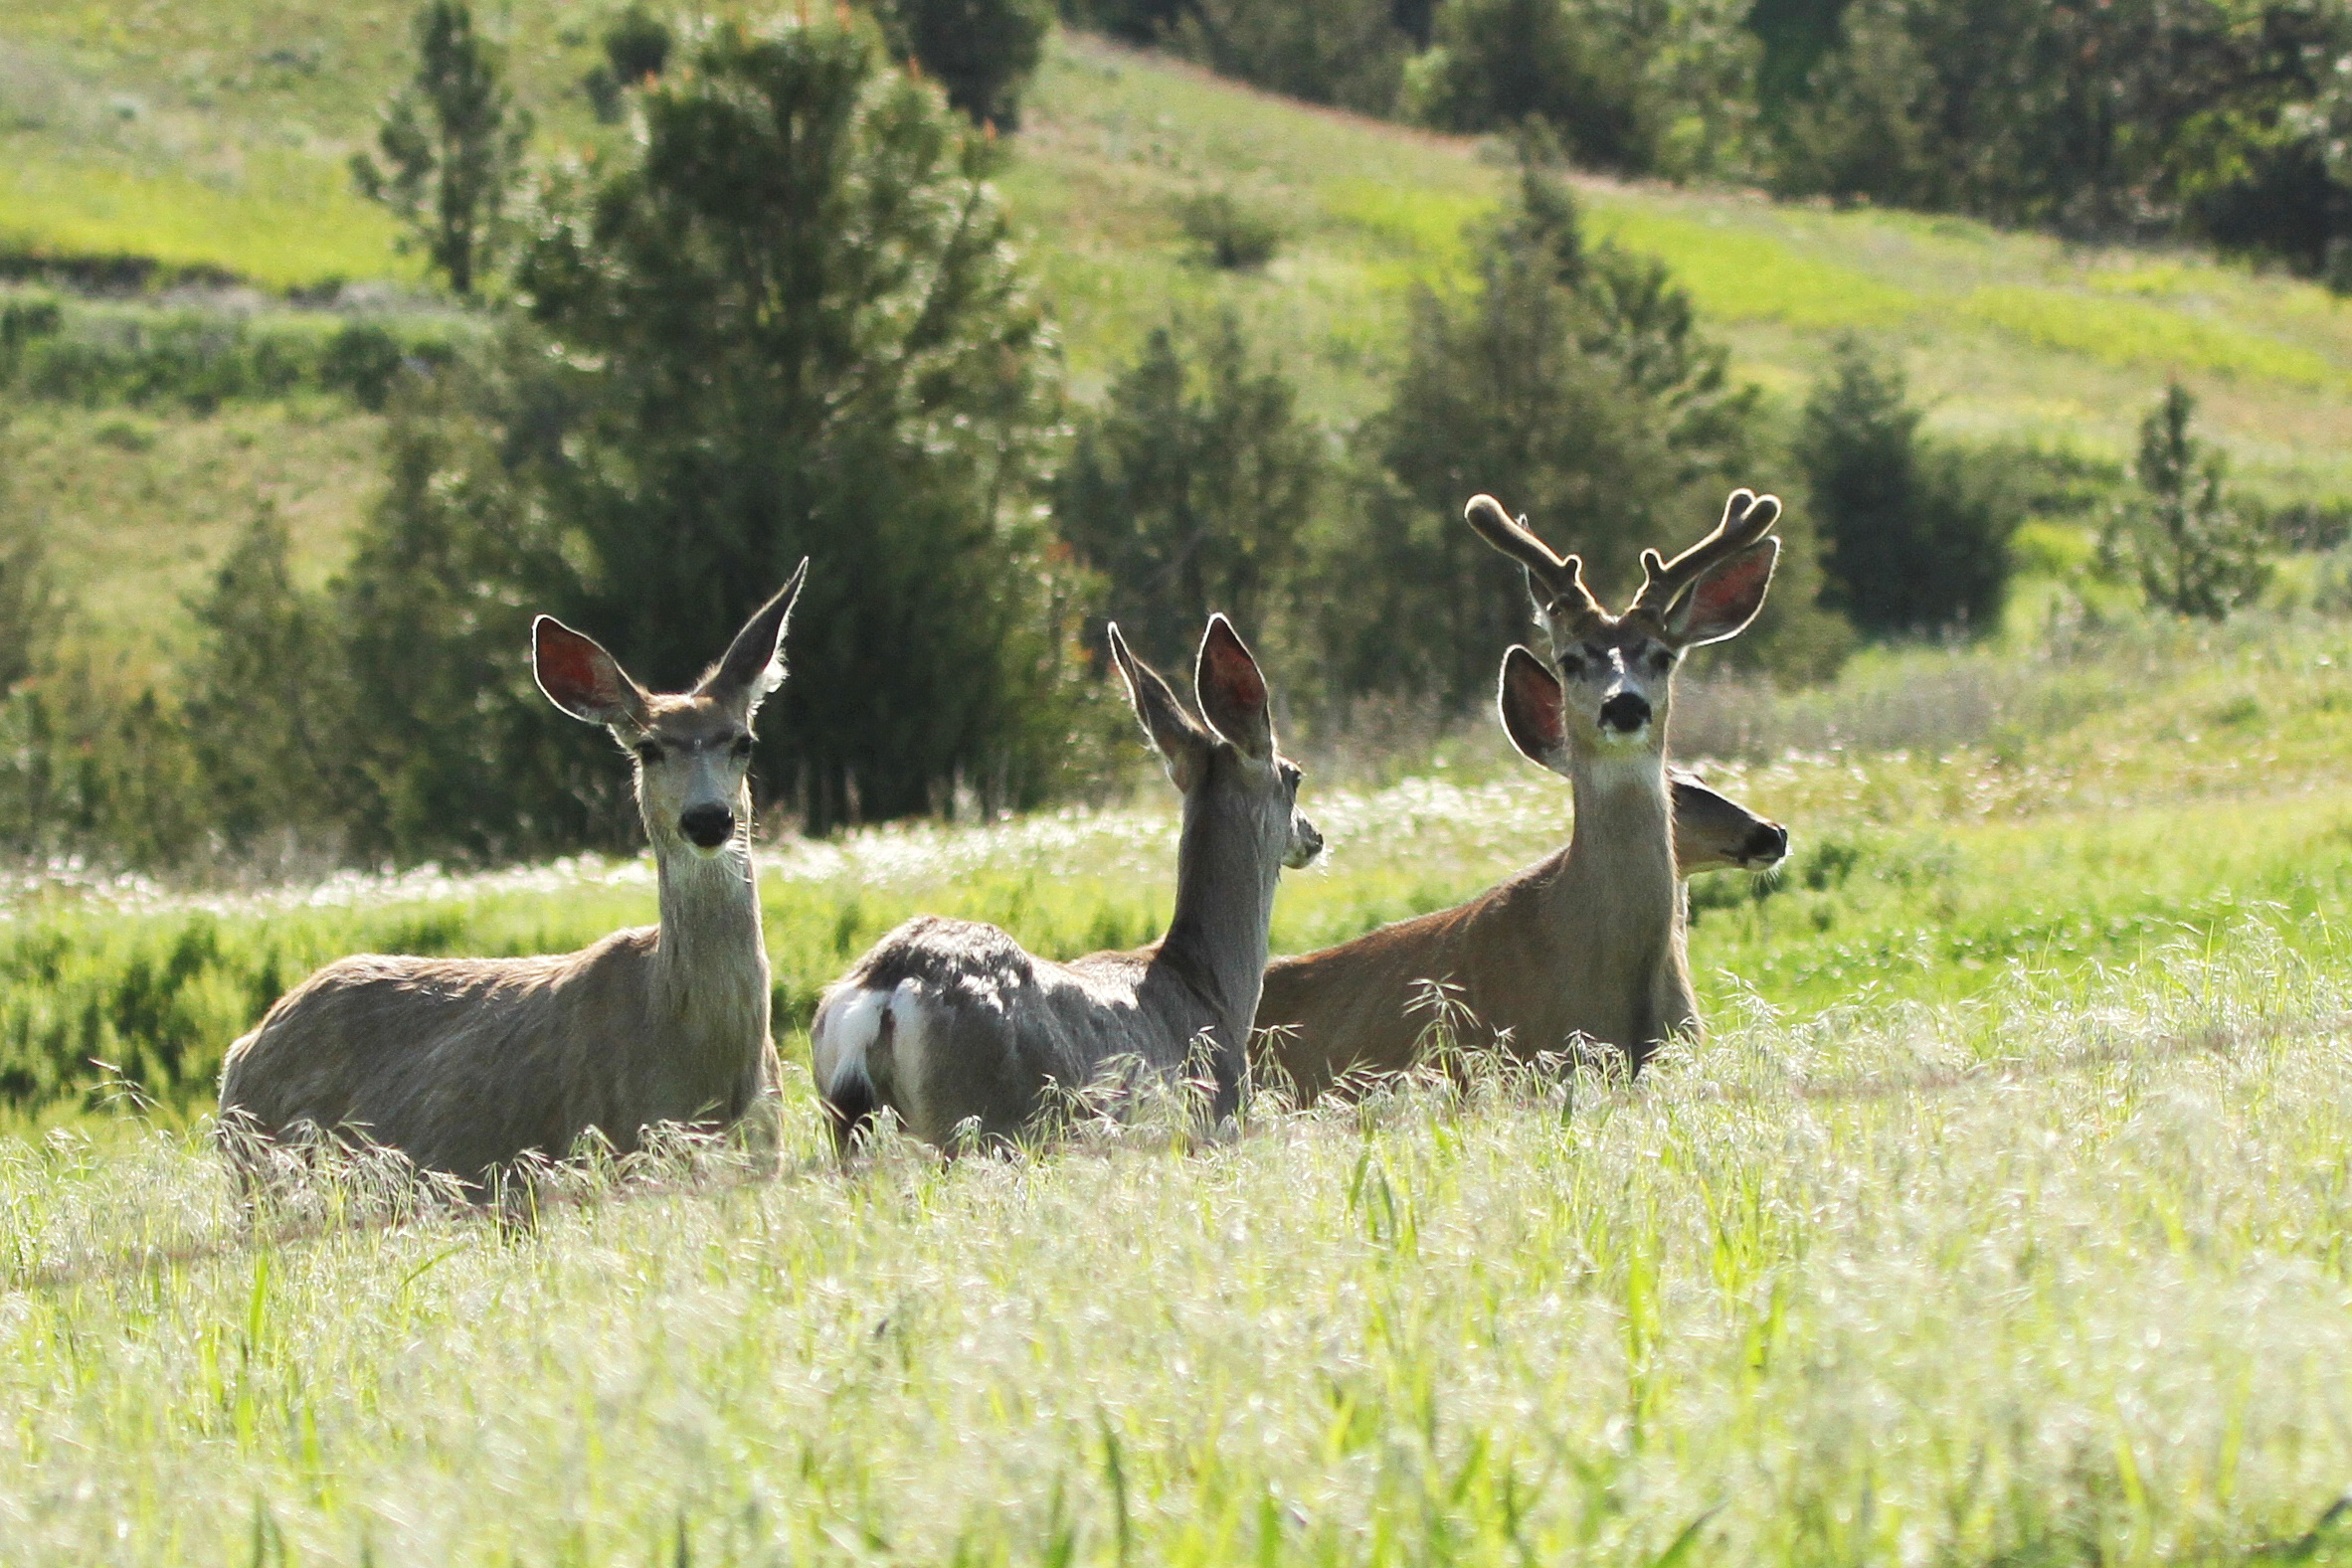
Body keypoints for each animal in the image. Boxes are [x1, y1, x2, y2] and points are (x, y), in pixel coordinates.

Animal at [811, 615, 1321, 1152]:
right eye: (1295, 777)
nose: (1314, 836)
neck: (1210, 992)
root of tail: (882, 992)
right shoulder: (1214, 1123)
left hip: (853, 1125)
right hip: (982, 1123)